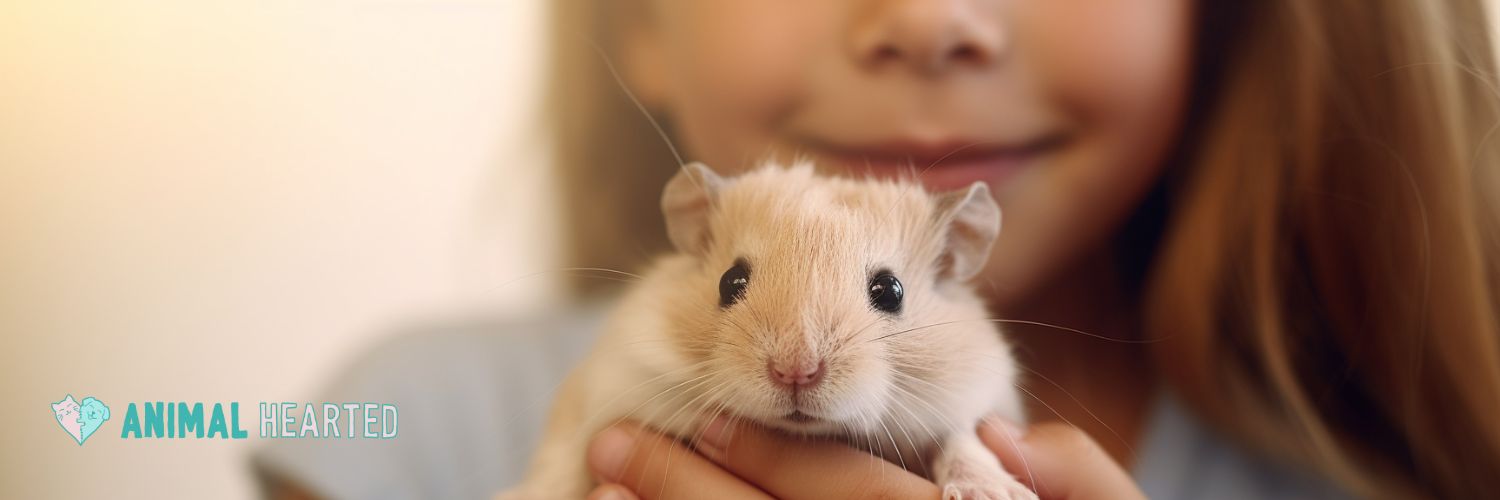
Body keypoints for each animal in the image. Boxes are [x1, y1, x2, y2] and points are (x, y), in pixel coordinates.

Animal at [504, 161, 1031, 499]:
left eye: (891, 291)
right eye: (729, 281)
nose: (795, 373)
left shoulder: (974, 396)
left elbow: (963, 439)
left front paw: (996, 495)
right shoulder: (611, 388)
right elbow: (569, 458)